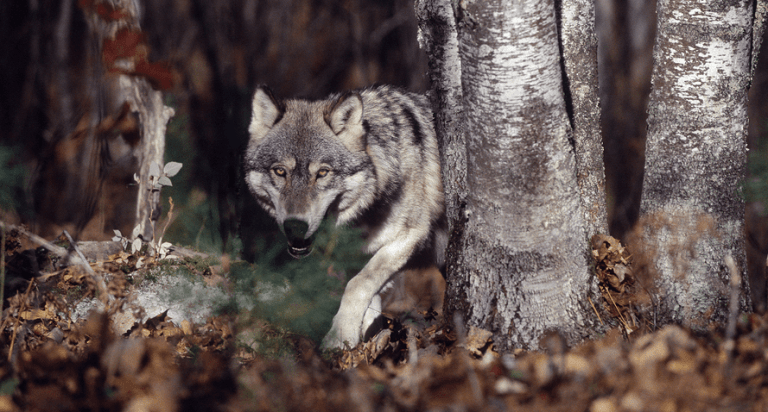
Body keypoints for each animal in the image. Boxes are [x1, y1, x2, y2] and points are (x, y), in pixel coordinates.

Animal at [244, 84, 446, 349]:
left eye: (322, 173)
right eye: (280, 171)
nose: (295, 226)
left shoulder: (412, 235)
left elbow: (358, 284)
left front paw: (339, 337)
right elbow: (369, 296)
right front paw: (366, 342)